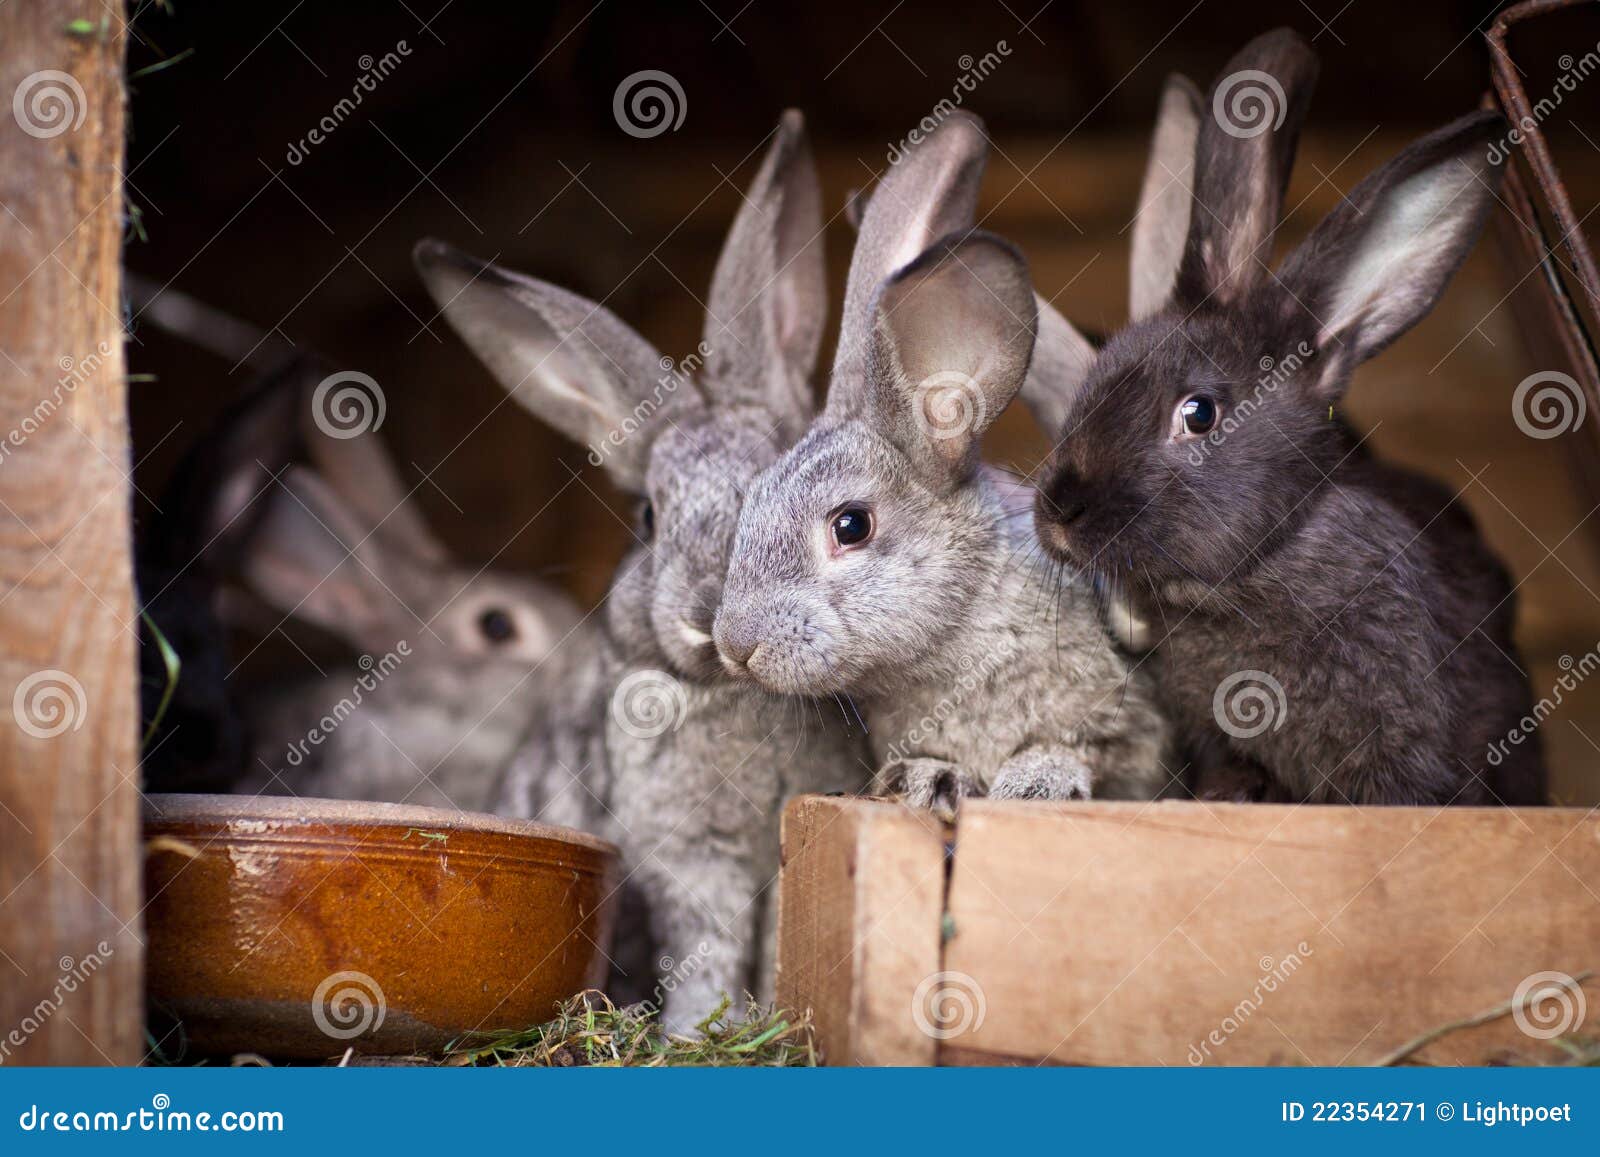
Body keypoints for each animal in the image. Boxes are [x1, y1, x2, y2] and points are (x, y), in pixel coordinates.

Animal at [414, 110, 870, 1031]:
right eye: (649, 519)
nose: (707, 617)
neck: (733, 694)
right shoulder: (690, 861)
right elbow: (705, 946)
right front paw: (701, 1029)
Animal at [710, 112, 1171, 816]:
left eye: (851, 525)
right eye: (752, 497)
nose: (736, 645)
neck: (956, 633)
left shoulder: (1126, 726)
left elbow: (1082, 746)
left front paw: (1035, 782)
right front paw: (922, 780)